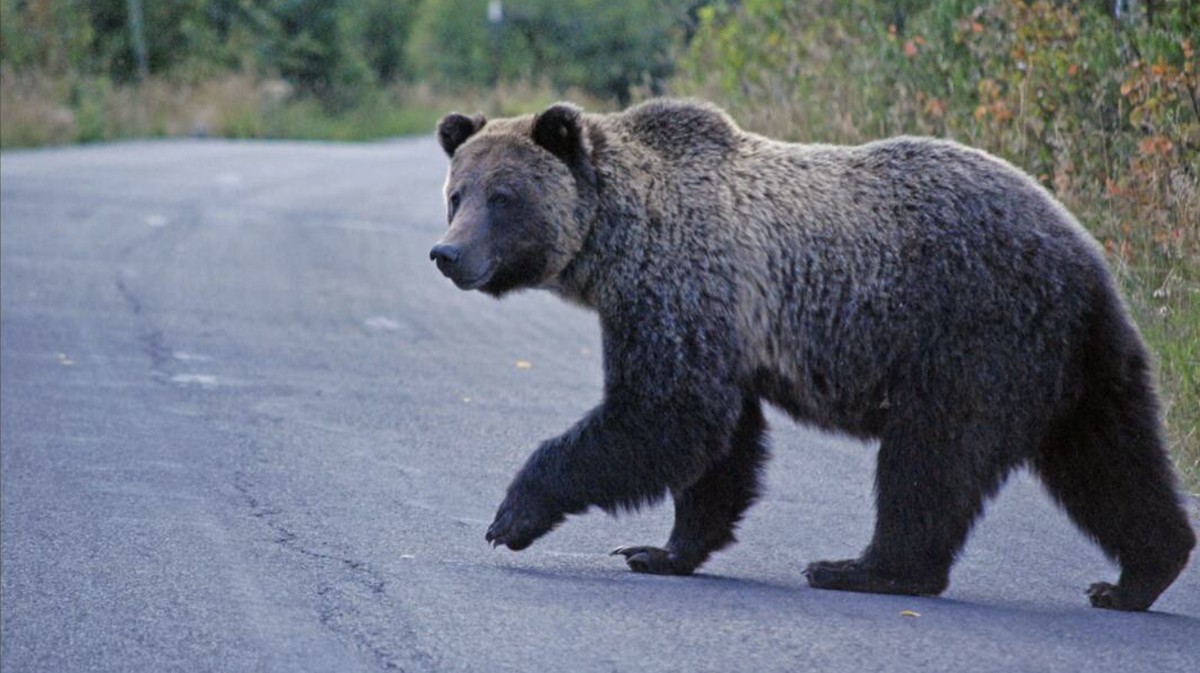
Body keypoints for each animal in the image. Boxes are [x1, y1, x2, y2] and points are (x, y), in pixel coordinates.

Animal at [428, 99, 1195, 611]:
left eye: (504, 195)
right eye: (456, 194)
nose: (447, 254)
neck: (616, 239)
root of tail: (1087, 254)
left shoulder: (680, 284)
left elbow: (664, 412)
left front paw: (513, 515)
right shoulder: (723, 326)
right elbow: (720, 444)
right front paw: (662, 549)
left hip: (972, 333)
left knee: (932, 457)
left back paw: (863, 567)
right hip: (1076, 358)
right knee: (1109, 458)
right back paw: (1136, 574)